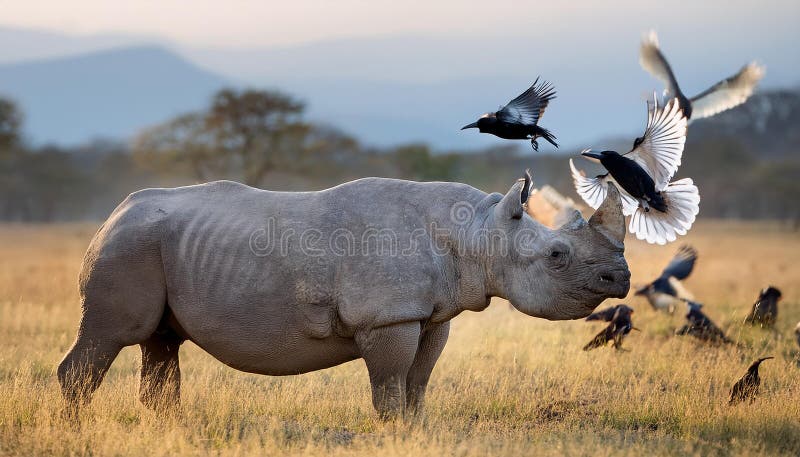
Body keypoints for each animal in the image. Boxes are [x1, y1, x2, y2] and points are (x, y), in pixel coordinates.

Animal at [58, 176, 630, 419]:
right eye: (557, 255)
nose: (620, 281)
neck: (478, 231)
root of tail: (113, 213)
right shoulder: (387, 317)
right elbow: (390, 387)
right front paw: (391, 433)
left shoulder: (431, 314)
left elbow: (417, 385)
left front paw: (413, 432)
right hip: (127, 247)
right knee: (112, 337)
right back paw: (77, 428)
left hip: (151, 244)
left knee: (160, 344)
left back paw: (169, 430)